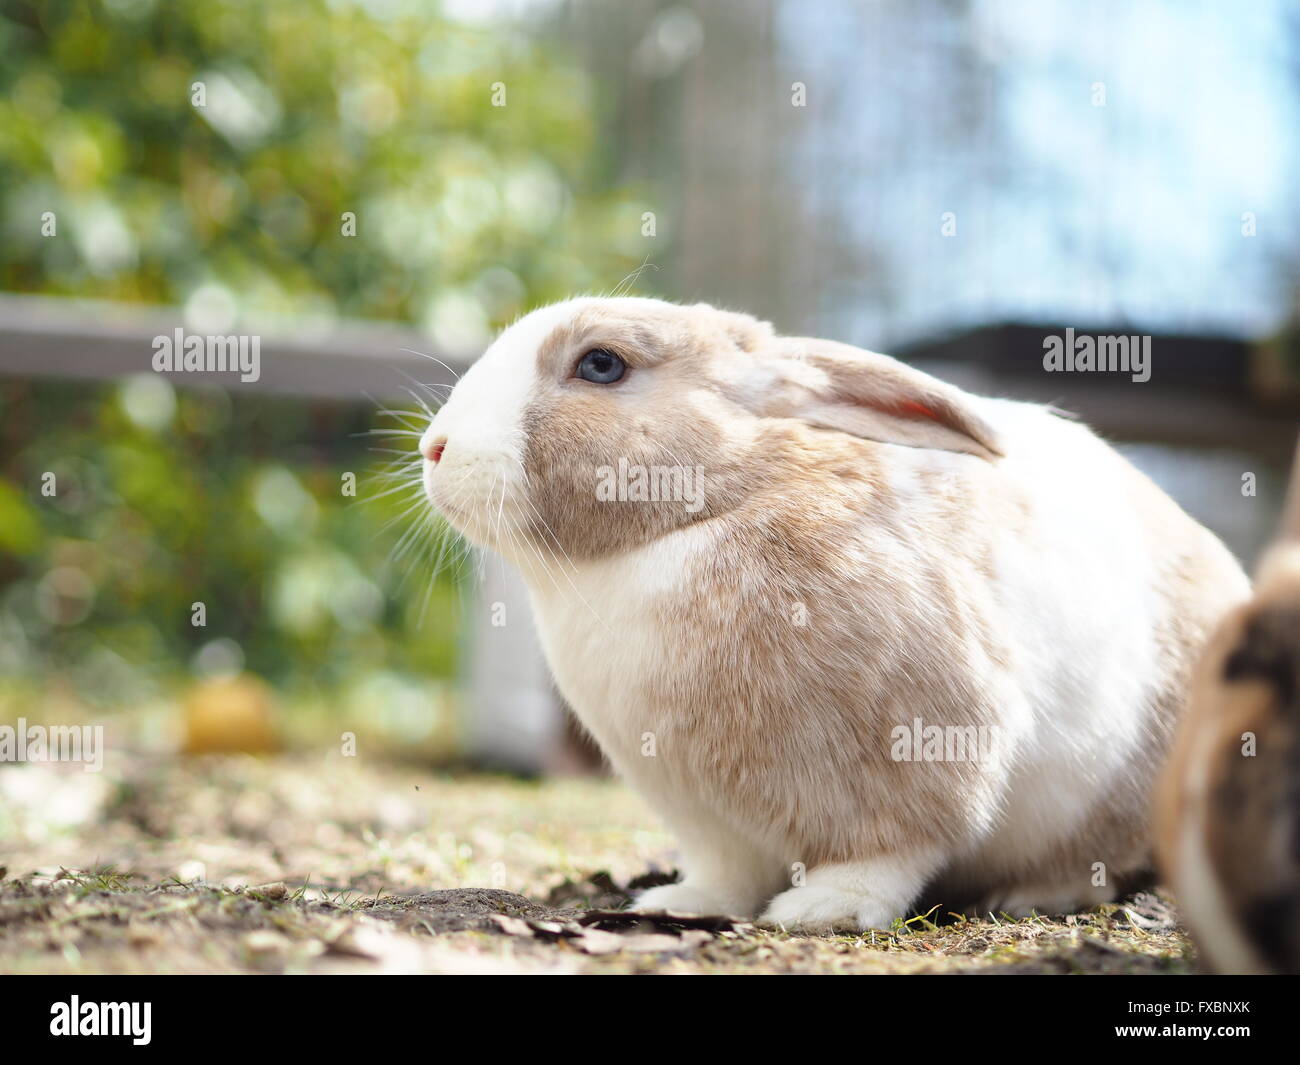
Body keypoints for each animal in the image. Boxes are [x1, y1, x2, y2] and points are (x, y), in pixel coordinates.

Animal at [418, 296, 1250, 931]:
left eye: (601, 364)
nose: (434, 447)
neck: (705, 510)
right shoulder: (707, 820)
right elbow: (724, 874)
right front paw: (677, 901)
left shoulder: (926, 755)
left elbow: (891, 852)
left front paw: (822, 910)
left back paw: (1027, 894)